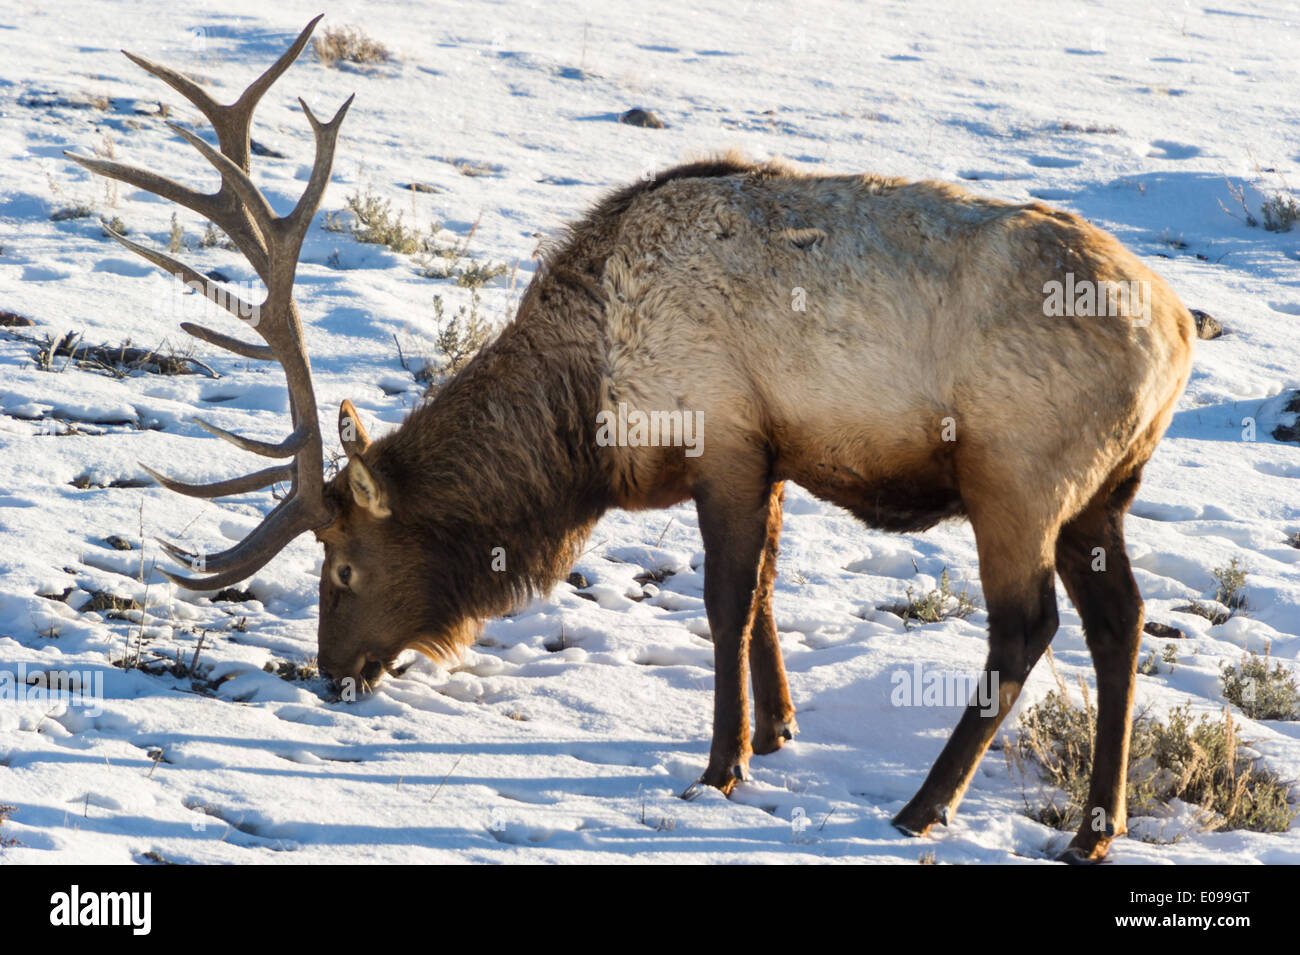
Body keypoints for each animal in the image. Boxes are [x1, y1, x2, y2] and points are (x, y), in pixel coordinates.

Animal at [70, 17, 1194, 863]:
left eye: (341, 567)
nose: (330, 672)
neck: (588, 419)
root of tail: (1182, 334)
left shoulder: (723, 437)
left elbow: (727, 601)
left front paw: (720, 766)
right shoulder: (769, 451)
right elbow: (768, 591)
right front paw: (778, 729)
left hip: (1018, 475)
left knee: (1027, 627)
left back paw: (923, 807)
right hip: (1104, 491)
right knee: (1121, 621)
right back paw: (1092, 830)